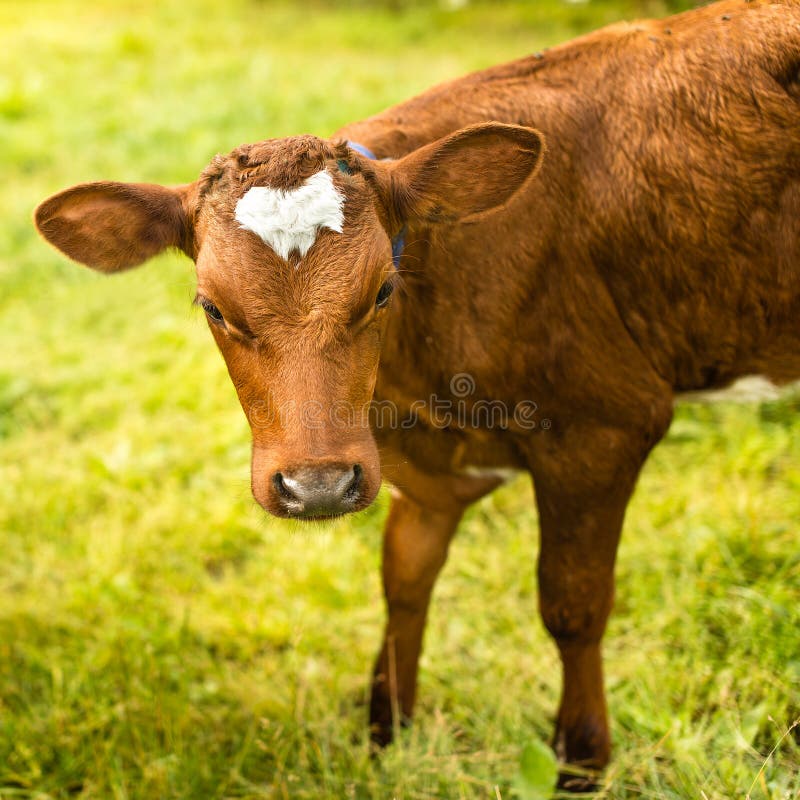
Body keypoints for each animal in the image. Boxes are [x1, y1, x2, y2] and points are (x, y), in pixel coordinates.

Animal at [34, 0, 800, 788]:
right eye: (213, 307)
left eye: (382, 290)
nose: (315, 485)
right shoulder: (415, 462)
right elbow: (404, 578)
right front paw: (387, 725)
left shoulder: (605, 426)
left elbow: (573, 605)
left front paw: (582, 760)